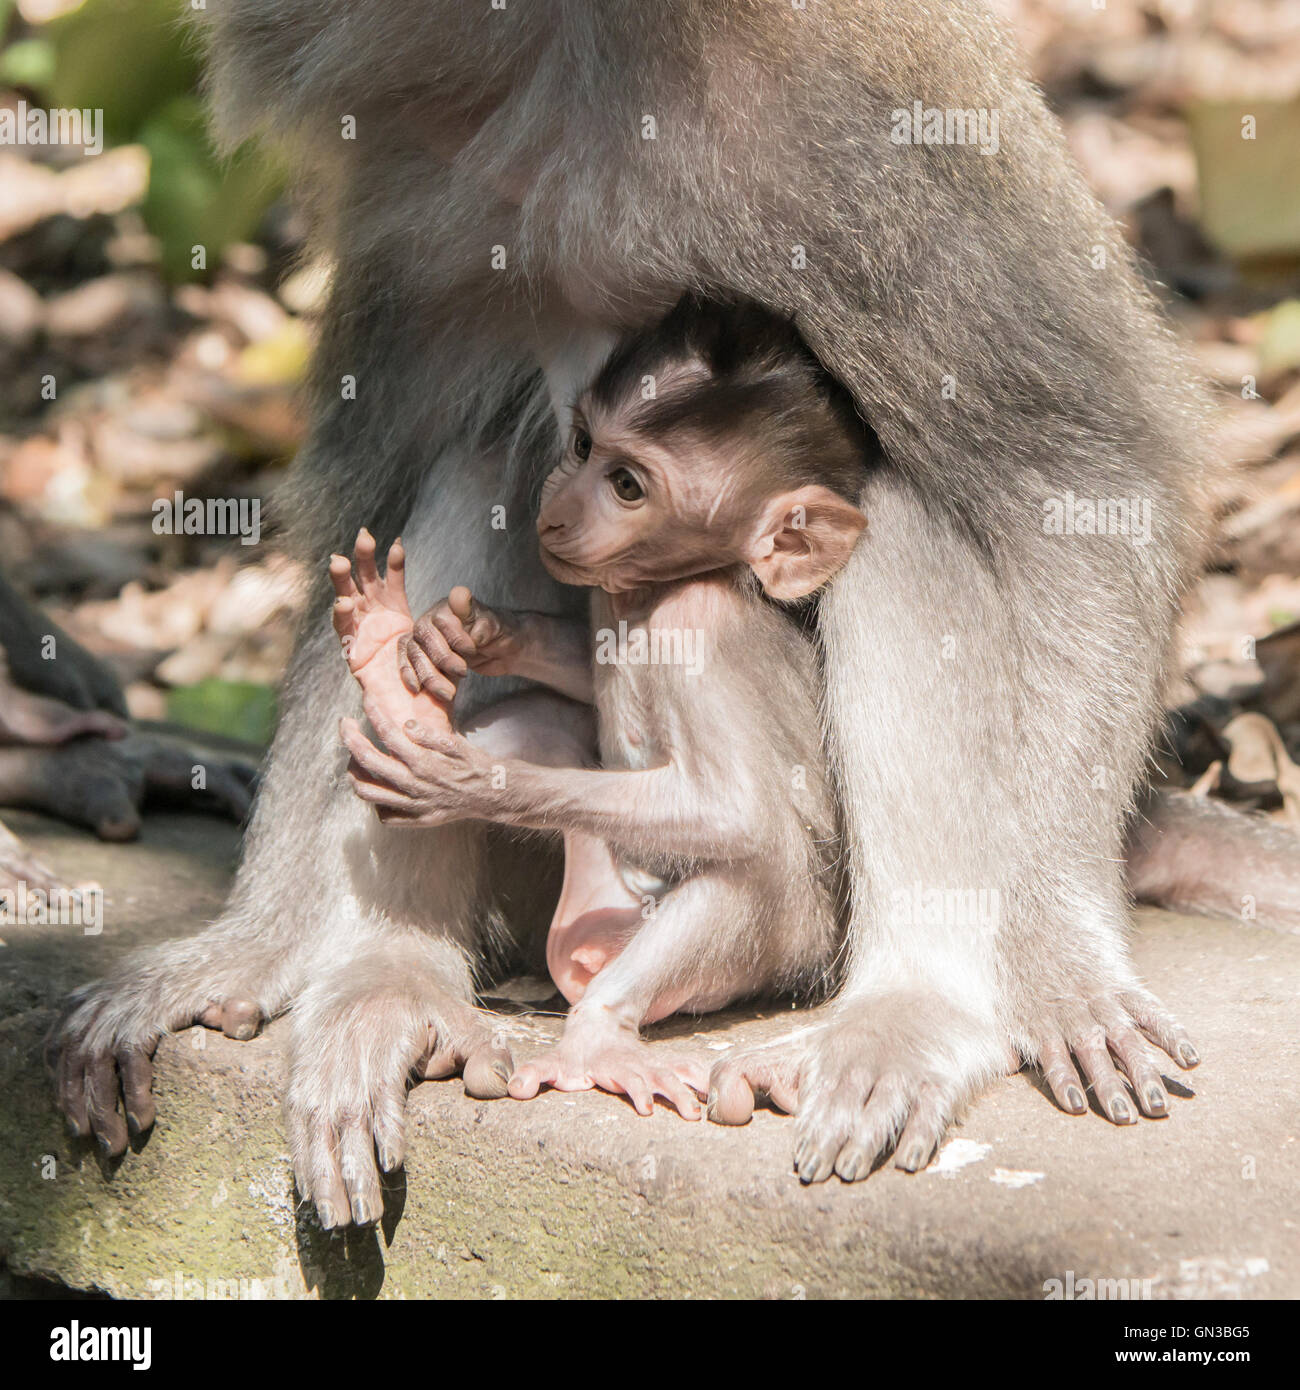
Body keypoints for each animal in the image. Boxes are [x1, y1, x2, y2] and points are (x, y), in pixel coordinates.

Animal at [330, 297, 869, 1122]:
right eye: (582, 445)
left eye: (626, 485)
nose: (556, 508)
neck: (657, 589)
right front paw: (471, 634)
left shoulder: (696, 624)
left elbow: (739, 813)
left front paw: (470, 783)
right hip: (592, 881)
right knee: (542, 722)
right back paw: (399, 685)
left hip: (792, 951)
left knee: (759, 867)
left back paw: (600, 1034)